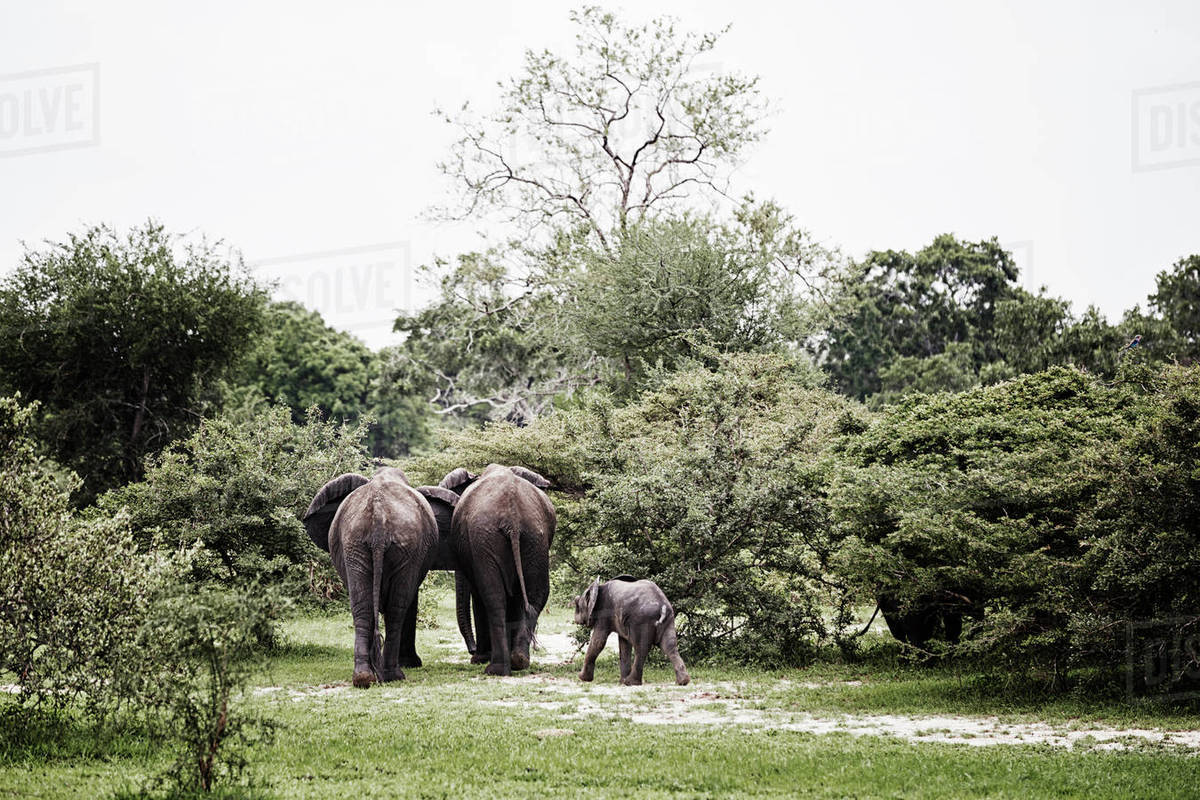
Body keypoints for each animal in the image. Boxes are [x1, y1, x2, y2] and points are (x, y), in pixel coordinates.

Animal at [302, 467, 437, 687]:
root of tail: (378, 513)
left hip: (363, 543)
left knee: (370, 607)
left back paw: (369, 677)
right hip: (385, 544)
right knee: (392, 608)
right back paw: (384, 676)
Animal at [427, 464, 555, 676]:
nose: (471, 649)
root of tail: (512, 517)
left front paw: (479, 659)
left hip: (490, 538)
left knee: (492, 597)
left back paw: (494, 668)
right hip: (533, 538)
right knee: (534, 595)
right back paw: (518, 661)